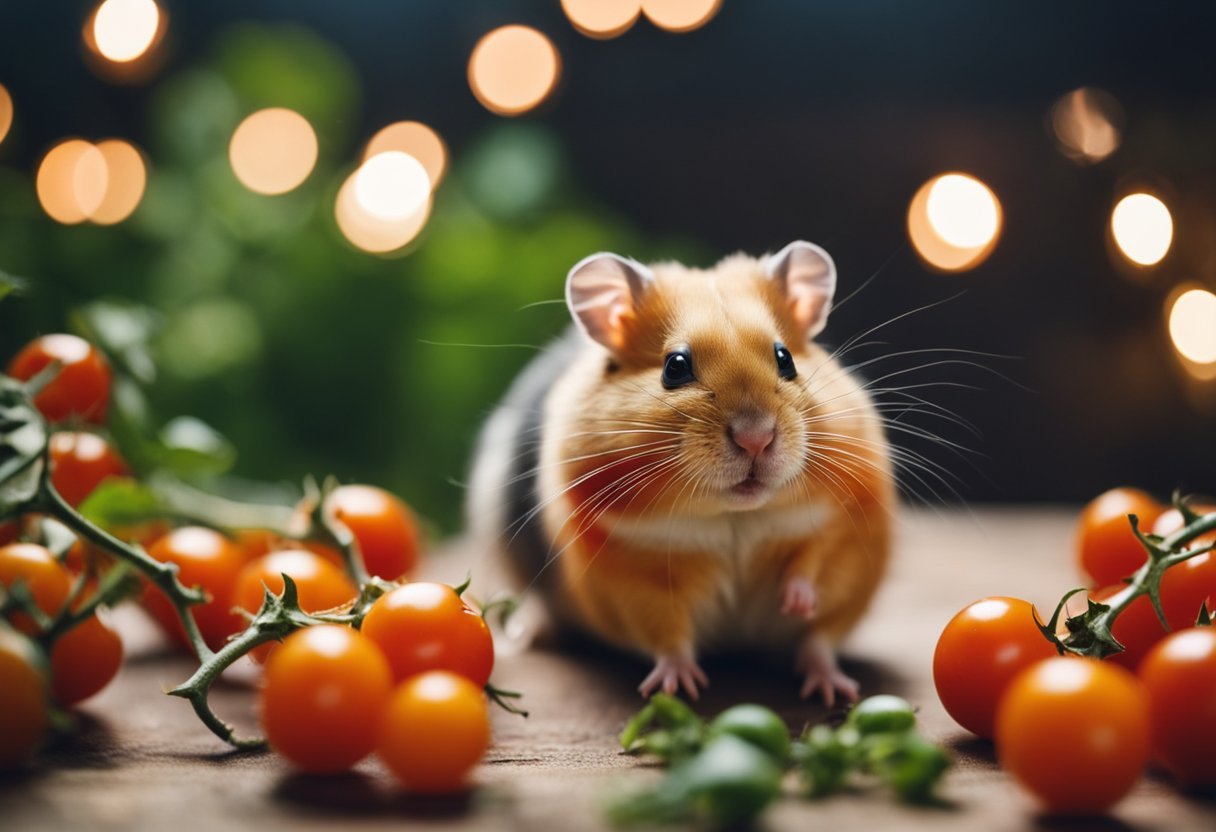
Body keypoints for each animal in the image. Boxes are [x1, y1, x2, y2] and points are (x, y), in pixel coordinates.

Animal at [466, 241, 893, 704]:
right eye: (675, 367)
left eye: (786, 359)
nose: (756, 438)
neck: (735, 517)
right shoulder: (635, 572)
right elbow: (667, 634)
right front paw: (678, 688)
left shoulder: (840, 528)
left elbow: (812, 565)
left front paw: (797, 603)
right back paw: (529, 632)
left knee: (819, 644)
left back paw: (834, 690)